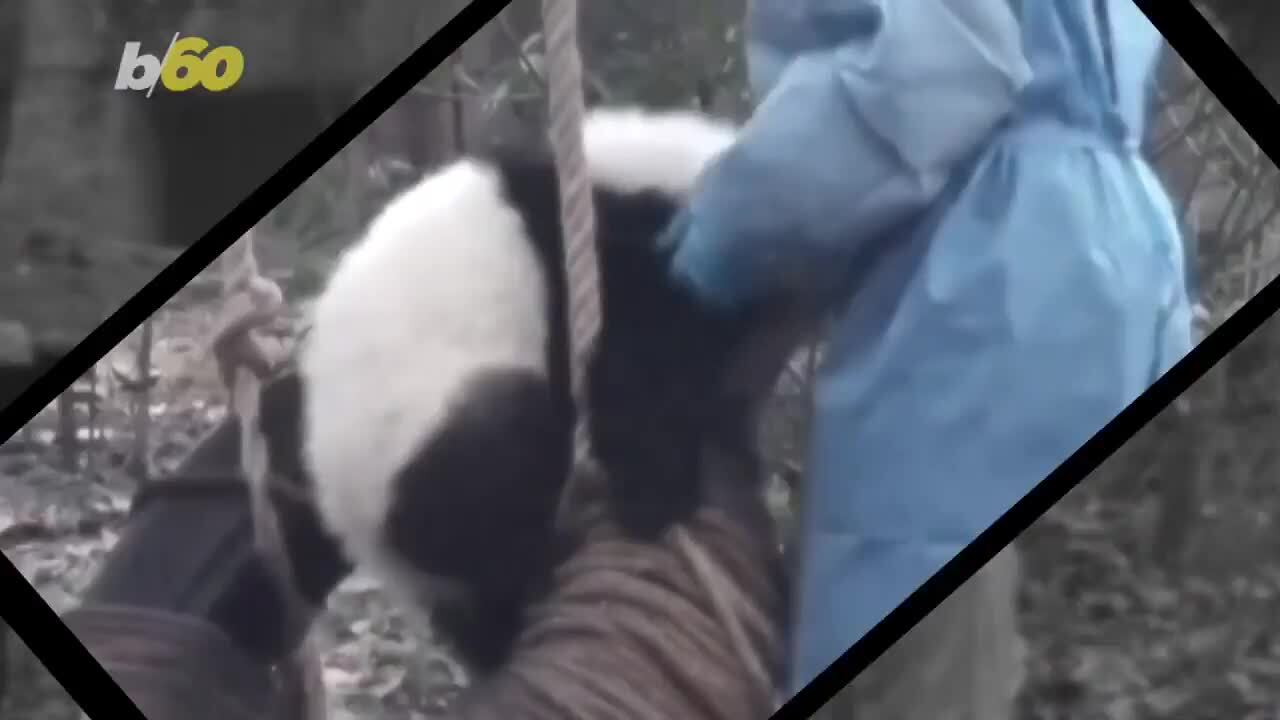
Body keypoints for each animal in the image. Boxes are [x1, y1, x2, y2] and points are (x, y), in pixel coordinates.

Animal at [293, 106, 773, 673]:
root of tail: (357, 531)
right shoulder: (603, 260)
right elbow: (633, 376)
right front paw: (657, 491)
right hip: (413, 447)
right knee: (500, 454)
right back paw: (542, 552)